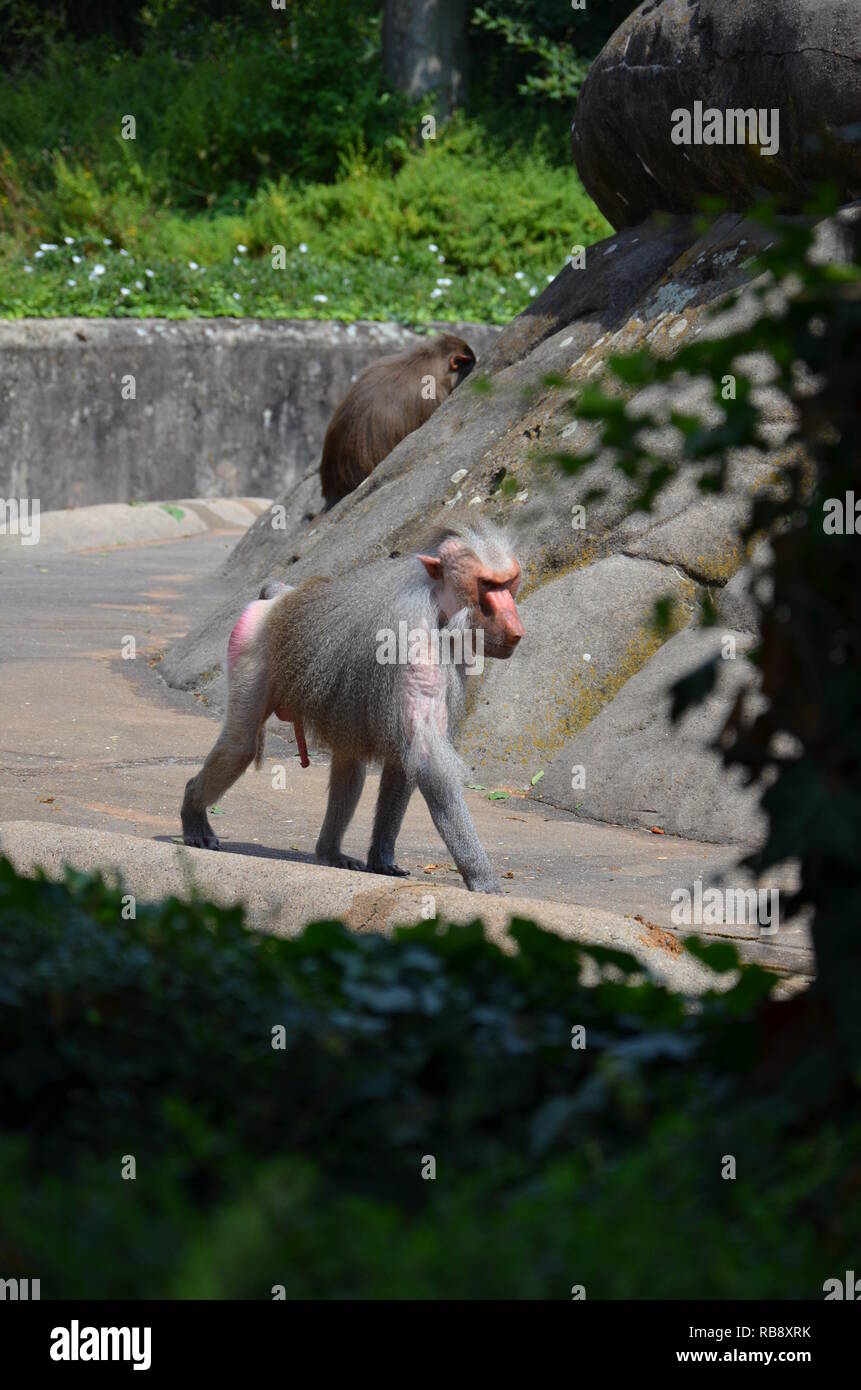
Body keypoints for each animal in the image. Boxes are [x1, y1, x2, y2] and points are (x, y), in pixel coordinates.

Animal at [180, 522, 524, 893]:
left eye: (508, 582)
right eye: (487, 585)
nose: (516, 628)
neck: (437, 603)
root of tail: (282, 594)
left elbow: (406, 759)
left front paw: (382, 860)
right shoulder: (414, 638)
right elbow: (427, 756)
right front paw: (484, 881)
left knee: (350, 766)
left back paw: (330, 854)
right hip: (251, 643)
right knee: (239, 746)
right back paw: (193, 817)